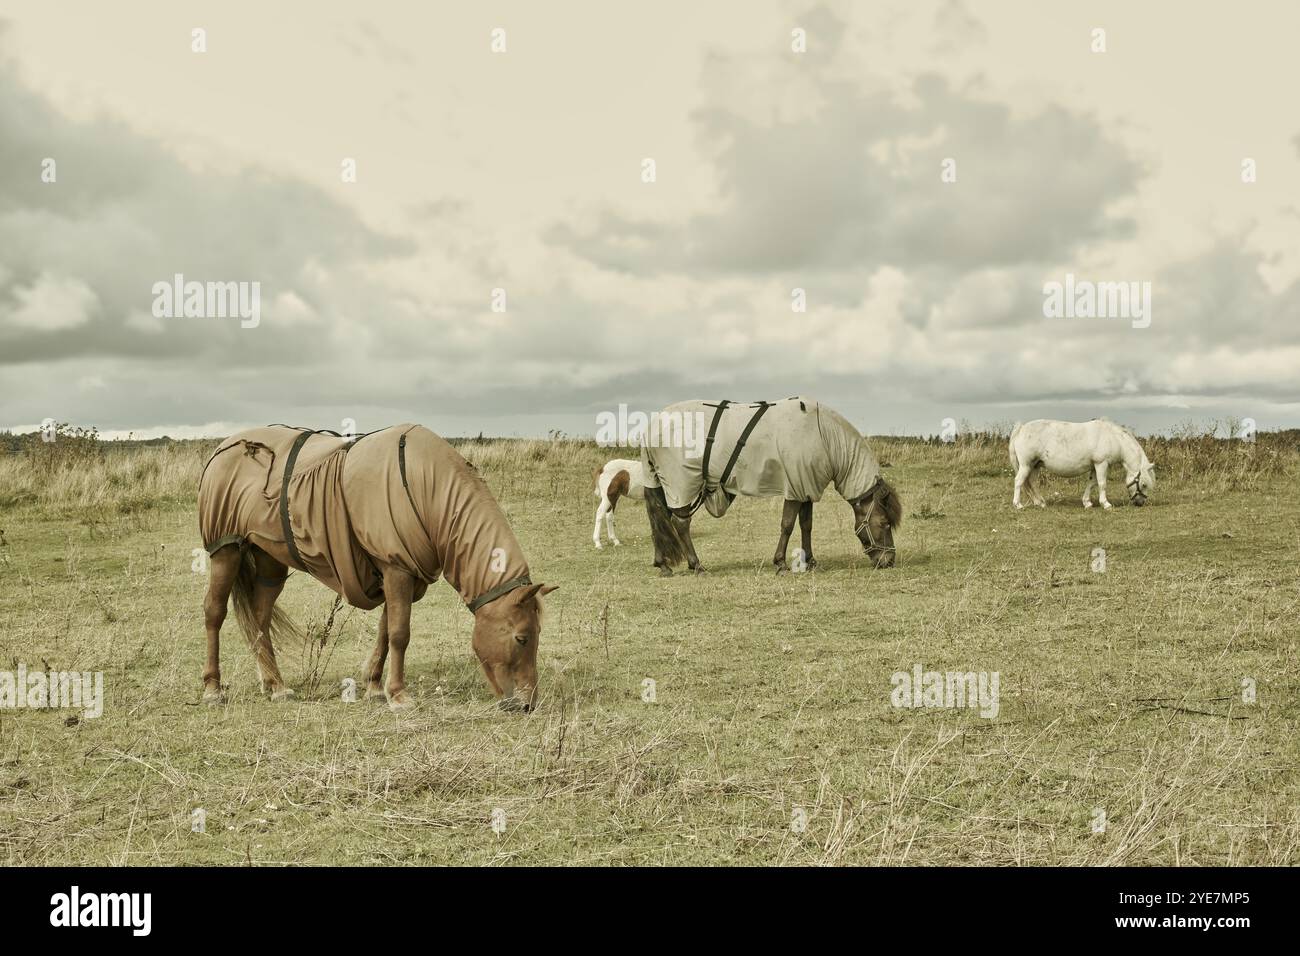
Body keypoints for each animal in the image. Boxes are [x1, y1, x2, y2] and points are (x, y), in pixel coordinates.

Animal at [197, 424, 556, 713]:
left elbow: (386, 631)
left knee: (260, 616)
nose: (527, 704)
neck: (423, 486)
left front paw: (374, 687)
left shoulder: (400, 573)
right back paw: (213, 688)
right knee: (214, 612)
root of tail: (224, 447)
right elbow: (399, 634)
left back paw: (275, 684)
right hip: (226, 548)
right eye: (522, 638)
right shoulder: (396, 568)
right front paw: (398, 695)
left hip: (270, 559)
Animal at [639, 397, 902, 575]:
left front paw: (810, 561)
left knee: (658, 520)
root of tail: (651, 428)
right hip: (681, 484)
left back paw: (663, 565)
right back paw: (696, 565)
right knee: (680, 523)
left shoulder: (805, 487)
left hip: (662, 484)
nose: (889, 561)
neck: (822, 435)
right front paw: (781, 563)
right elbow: (787, 525)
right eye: (885, 523)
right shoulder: (795, 488)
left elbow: (806, 525)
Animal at [1009, 418, 1156, 510]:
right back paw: (1018, 505)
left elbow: (1092, 483)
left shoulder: (1094, 466)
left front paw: (1087, 503)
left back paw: (1040, 503)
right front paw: (1106, 504)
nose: (1140, 503)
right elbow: (1102, 484)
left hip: (1035, 465)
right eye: (1144, 484)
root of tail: (1021, 428)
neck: (1114, 438)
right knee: (1019, 481)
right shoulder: (1101, 464)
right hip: (1026, 465)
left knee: (1032, 483)